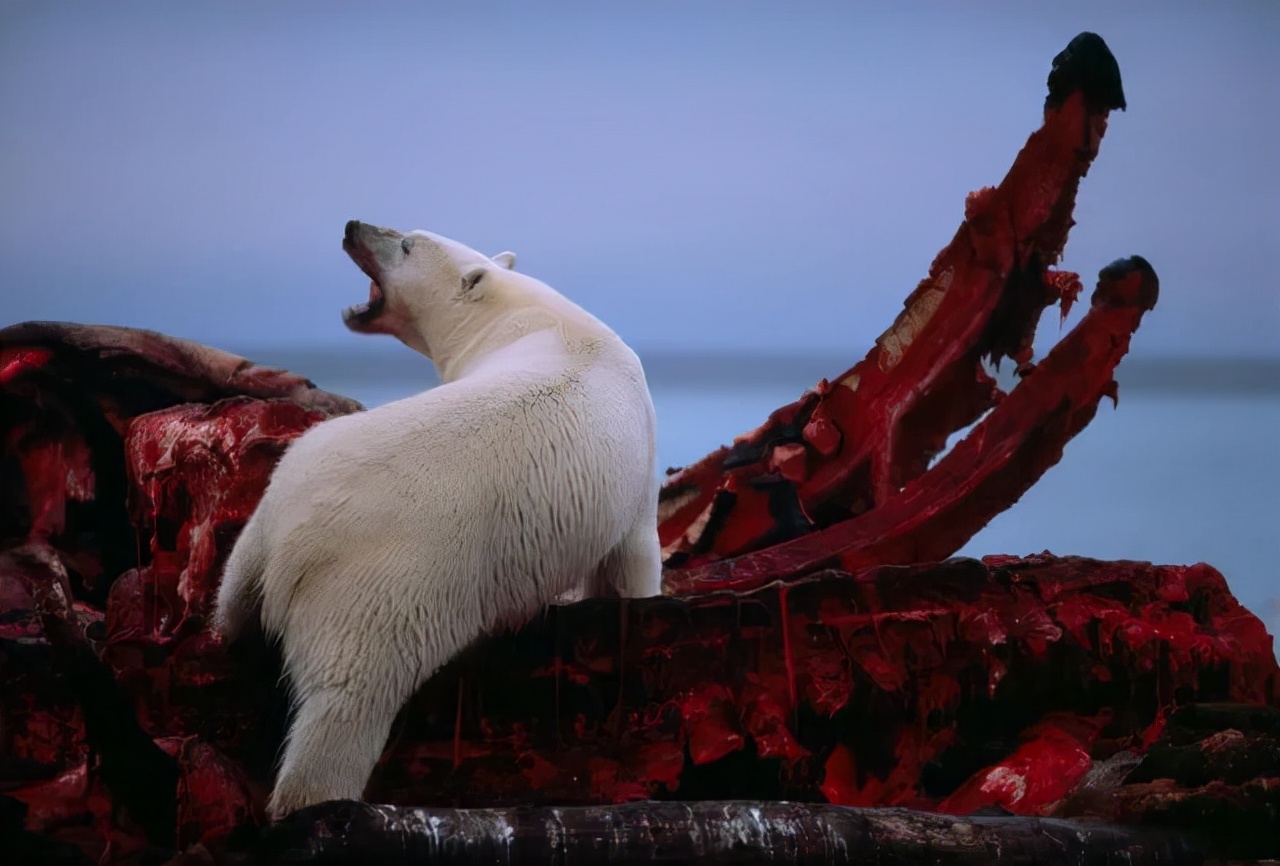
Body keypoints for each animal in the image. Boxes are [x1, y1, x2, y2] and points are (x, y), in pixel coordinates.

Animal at [214, 220, 662, 817]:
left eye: (404, 242)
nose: (352, 226)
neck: (527, 316)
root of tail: (298, 541)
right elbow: (635, 557)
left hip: (279, 496)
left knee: (232, 597)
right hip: (383, 594)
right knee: (346, 704)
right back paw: (311, 802)